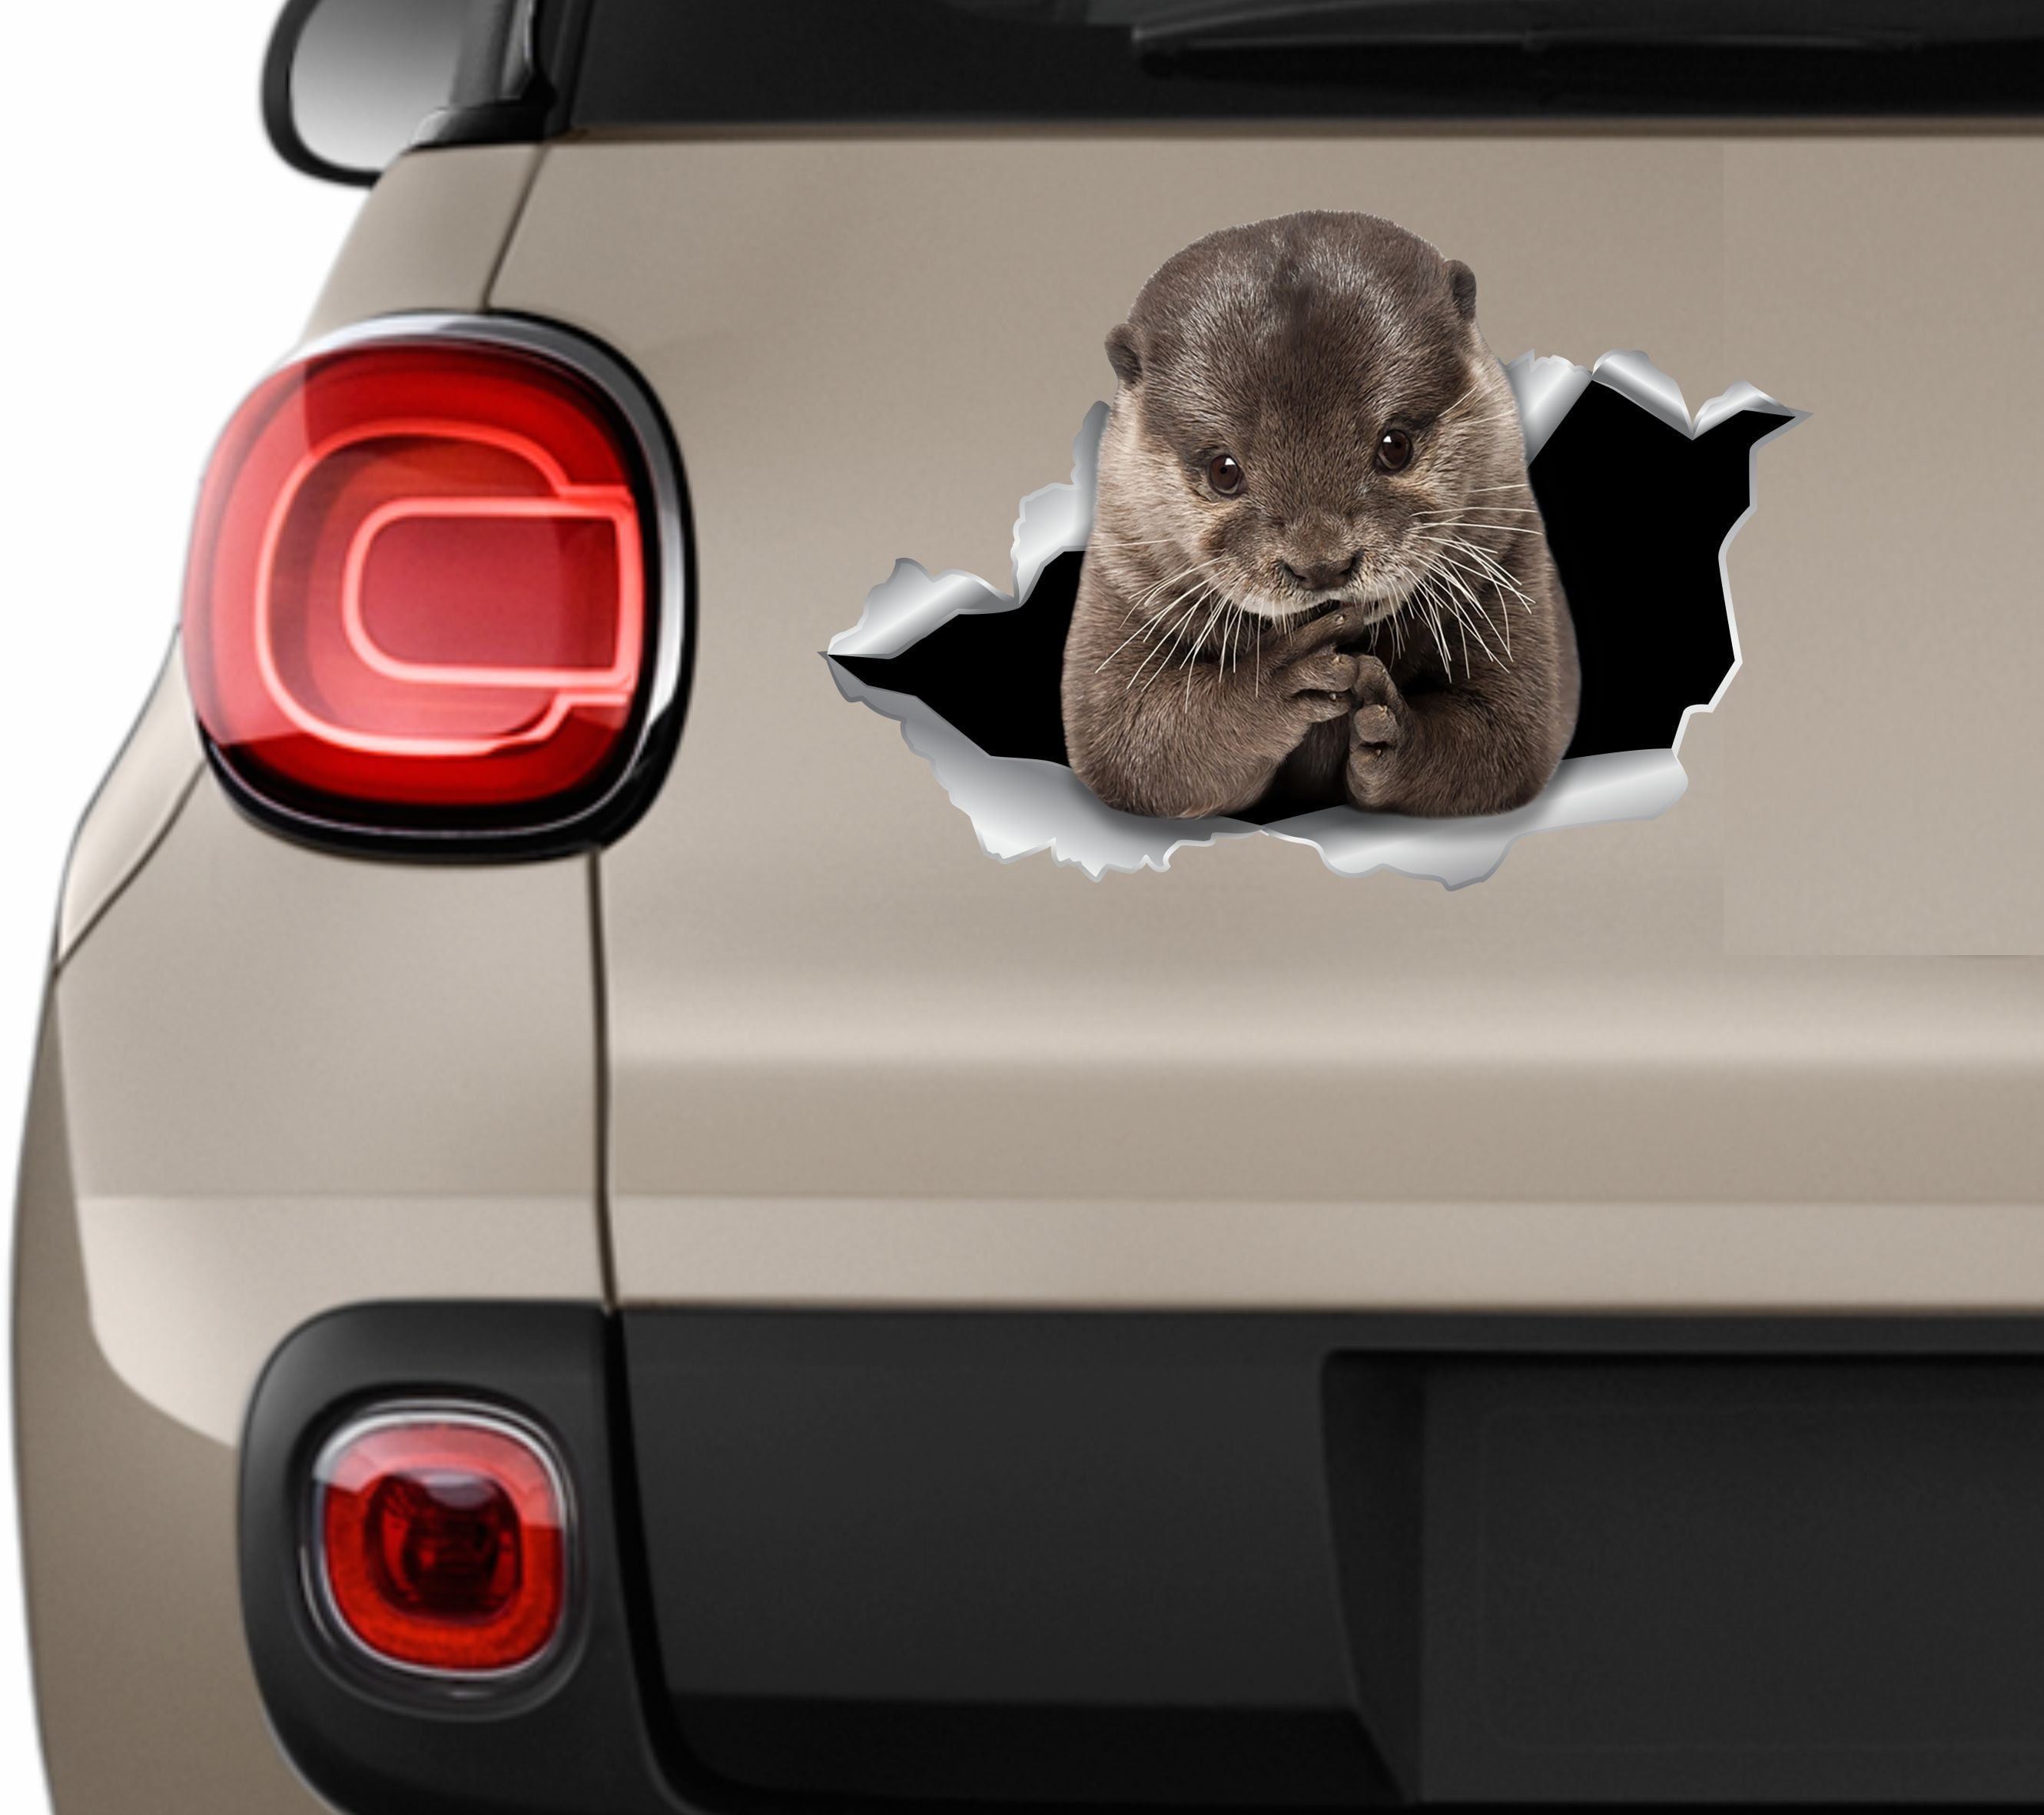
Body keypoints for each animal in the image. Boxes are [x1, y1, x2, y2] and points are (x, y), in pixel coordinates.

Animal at [1062, 211, 1579, 821]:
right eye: (1223, 470)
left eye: (1395, 444)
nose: (1322, 565)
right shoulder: (1121, 585)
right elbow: (1131, 742)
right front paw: (1276, 682)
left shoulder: (1512, 559)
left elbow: (1508, 736)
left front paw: (1389, 730)